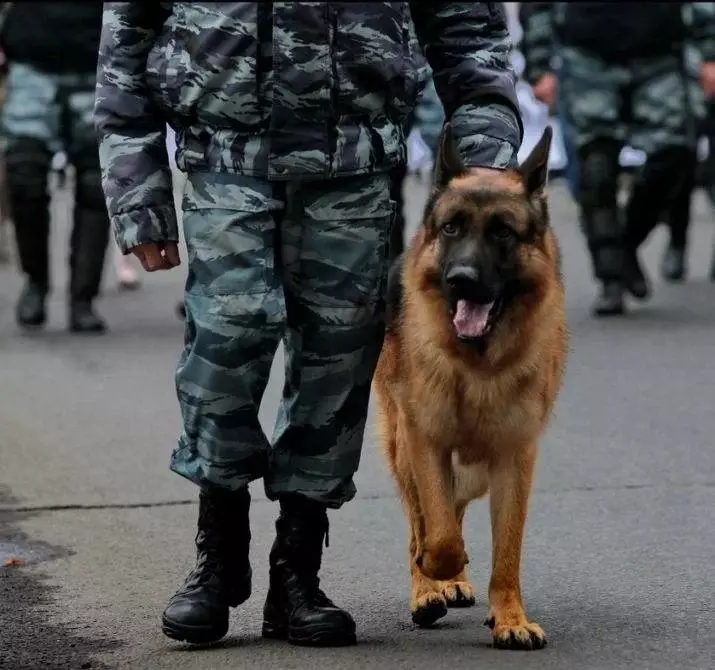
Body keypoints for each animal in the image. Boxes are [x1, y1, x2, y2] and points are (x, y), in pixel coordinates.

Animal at [374, 124, 572, 652]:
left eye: (502, 231)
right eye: (451, 229)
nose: (461, 279)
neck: (477, 365)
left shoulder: (514, 458)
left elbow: (507, 550)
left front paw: (509, 618)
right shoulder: (426, 441)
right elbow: (438, 534)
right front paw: (435, 570)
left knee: (455, 505)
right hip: (404, 448)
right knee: (423, 519)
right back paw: (429, 588)